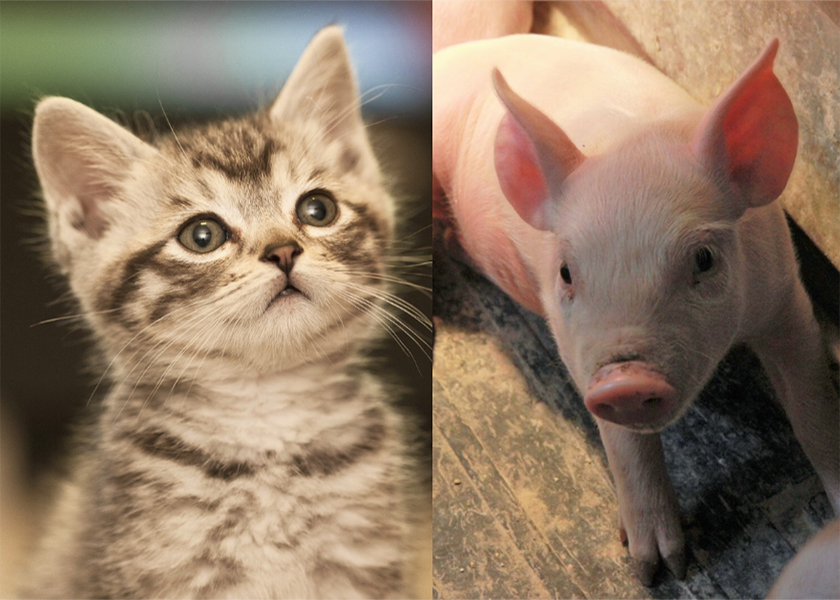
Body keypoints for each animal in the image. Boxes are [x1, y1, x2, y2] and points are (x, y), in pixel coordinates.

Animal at [433, 35, 840, 585]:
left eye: (704, 258)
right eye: (566, 272)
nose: (625, 381)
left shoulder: (783, 297)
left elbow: (813, 411)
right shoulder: (573, 341)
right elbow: (623, 439)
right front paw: (659, 570)